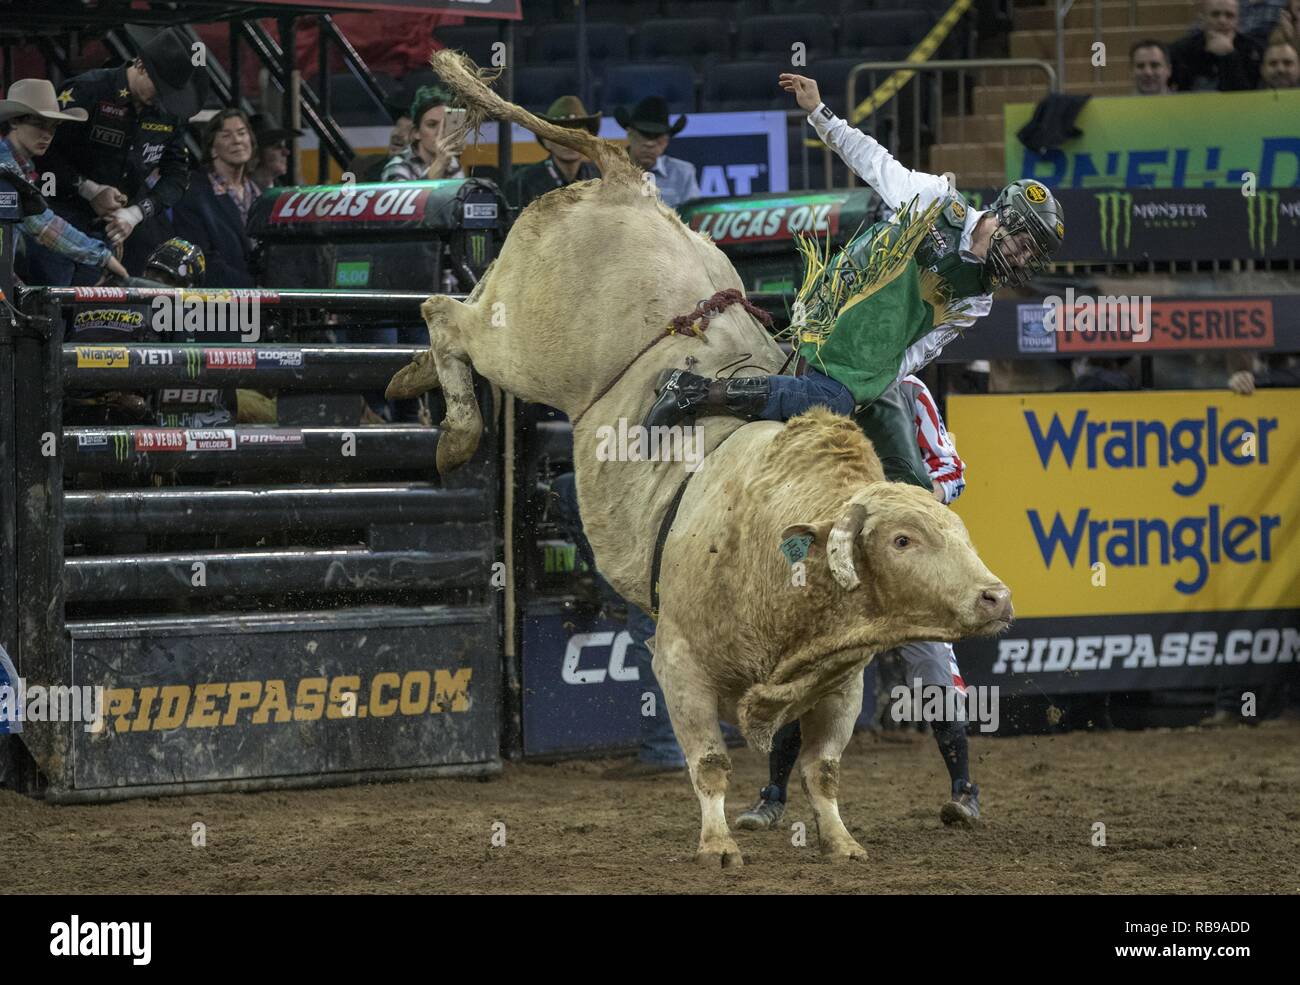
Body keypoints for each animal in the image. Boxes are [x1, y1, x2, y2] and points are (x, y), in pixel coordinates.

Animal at [389, 51, 1012, 867]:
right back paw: (460, 432)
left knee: (450, 330)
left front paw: (840, 839)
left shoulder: (837, 687)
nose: (995, 597)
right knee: (443, 315)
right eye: (903, 540)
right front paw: (719, 844)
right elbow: (712, 758)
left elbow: (822, 766)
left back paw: (409, 383)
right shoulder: (679, 660)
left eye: (956, 532)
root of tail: (625, 177)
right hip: (522, 341)